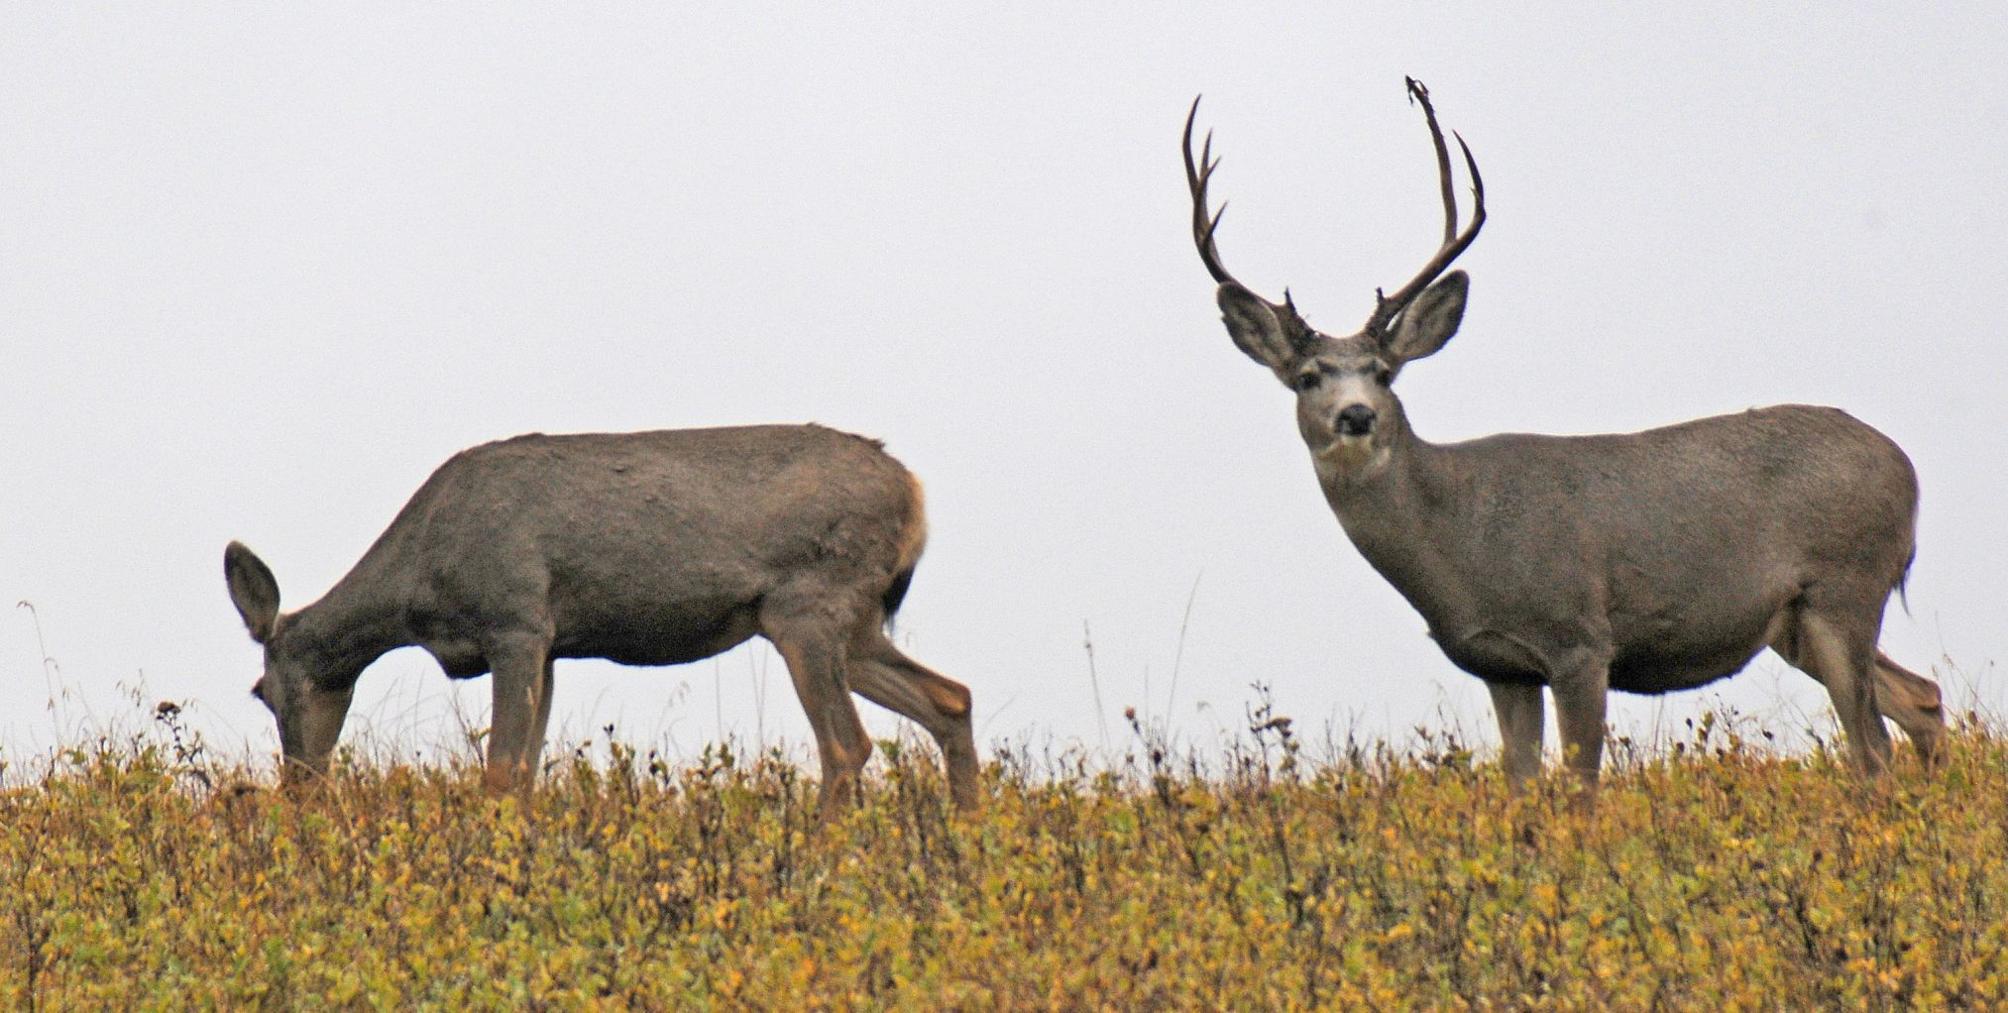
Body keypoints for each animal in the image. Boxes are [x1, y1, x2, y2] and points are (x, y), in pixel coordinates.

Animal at [224, 424, 979, 816]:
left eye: (262, 691)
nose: (299, 785)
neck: (418, 582)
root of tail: (914, 493)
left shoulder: (516, 619)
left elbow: (501, 769)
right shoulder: (551, 644)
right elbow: (527, 768)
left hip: (808, 608)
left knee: (847, 746)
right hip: (857, 625)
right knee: (951, 698)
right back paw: (968, 836)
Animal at [1182, 79, 1946, 790]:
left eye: (1382, 372)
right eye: (1309, 376)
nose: (1357, 415)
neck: (1458, 538)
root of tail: (1907, 466)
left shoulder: (1580, 637)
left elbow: (1580, 791)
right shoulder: (1502, 664)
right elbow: (1521, 787)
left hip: (1846, 582)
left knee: (1872, 748)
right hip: (1795, 623)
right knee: (1924, 698)